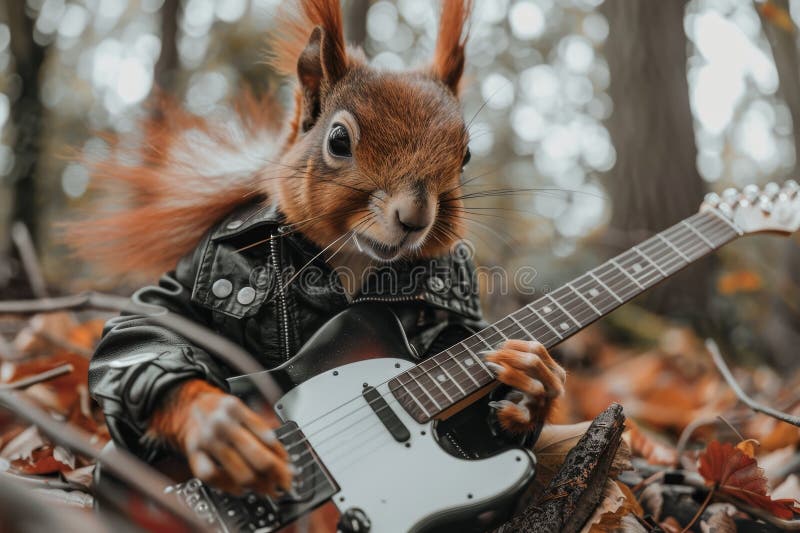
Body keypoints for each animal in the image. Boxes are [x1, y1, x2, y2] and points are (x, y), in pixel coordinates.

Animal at [68, 0, 566, 497]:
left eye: (465, 157)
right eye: (339, 140)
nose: (415, 218)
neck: (354, 261)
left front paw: (532, 382)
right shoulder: (206, 256)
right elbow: (148, 319)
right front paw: (215, 424)